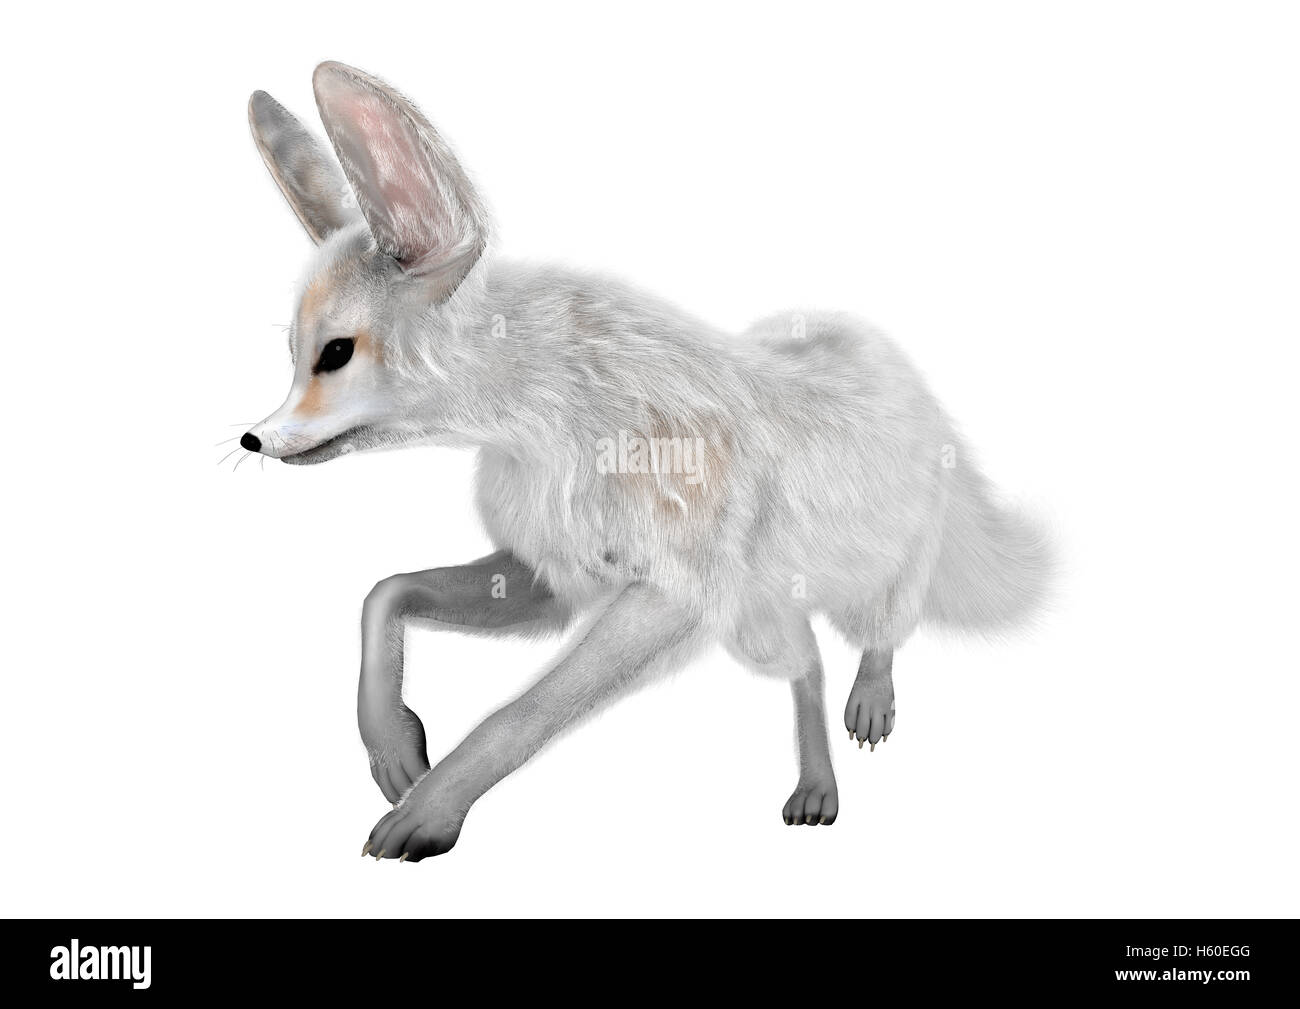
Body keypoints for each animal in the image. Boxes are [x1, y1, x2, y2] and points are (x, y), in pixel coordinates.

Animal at [241, 61, 1054, 861]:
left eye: (334, 354)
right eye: (293, 356)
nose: (253, 440)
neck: (552, 426)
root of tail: (876, 346)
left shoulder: (668, 597)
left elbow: (521, 714)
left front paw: (431, 810)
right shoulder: (557, 576)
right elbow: (386, 591)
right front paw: (393, 747)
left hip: (847, 589)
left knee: (877, 635)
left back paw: (871, 702)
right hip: (756, 620)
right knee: (807, 663)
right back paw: (817, 785)